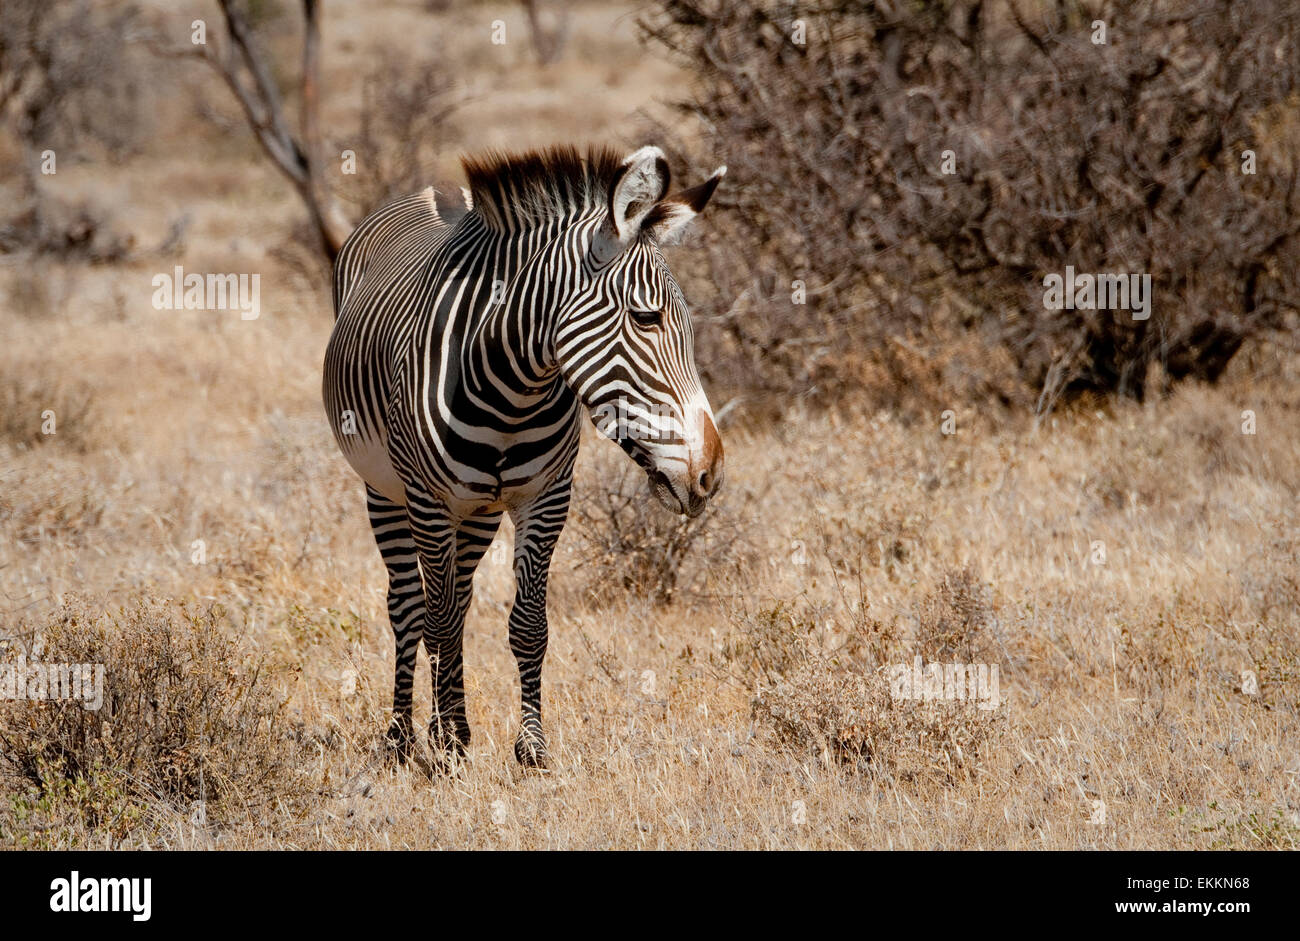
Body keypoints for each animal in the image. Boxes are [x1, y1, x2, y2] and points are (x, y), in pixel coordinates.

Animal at [322, 144, 726, 770]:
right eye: (647, 318)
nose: (709, 473)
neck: (510, 390)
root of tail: (436, 189)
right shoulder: (429, 502)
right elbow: (436, 622)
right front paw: (447, 751)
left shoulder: (546, 498)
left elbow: (526, 624)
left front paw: (526, 746)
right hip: (385, 490)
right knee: (409, 607)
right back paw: (402, 739)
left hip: (478, 513)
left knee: (457, 601)